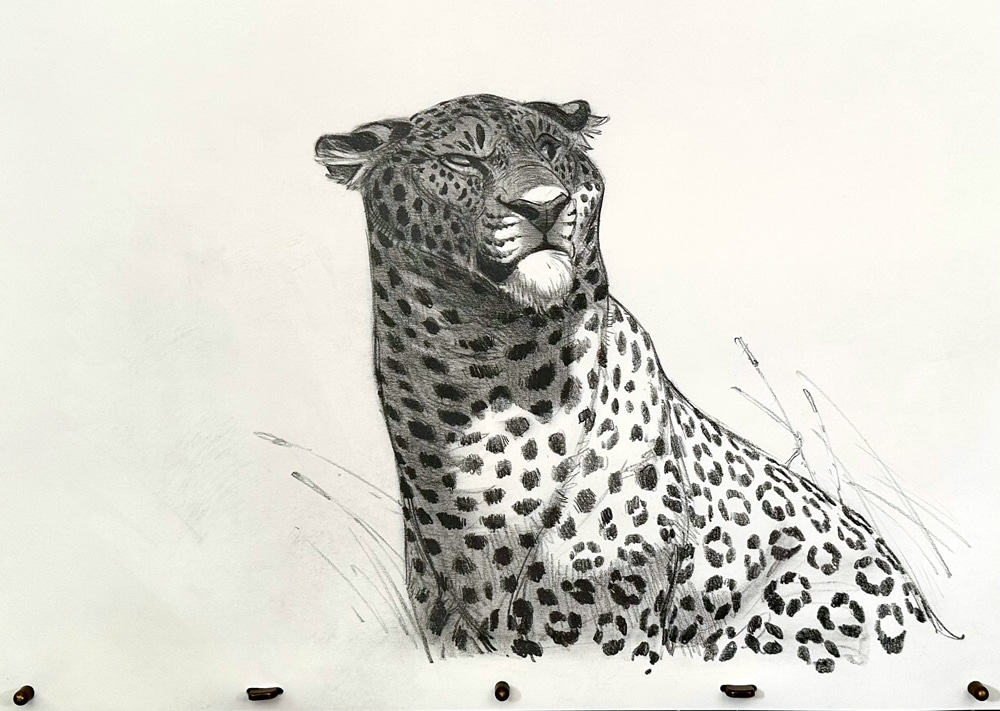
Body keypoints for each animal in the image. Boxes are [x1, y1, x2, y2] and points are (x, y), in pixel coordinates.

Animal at [314, 94, 957, 672]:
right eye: (461, 160)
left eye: (551, 151)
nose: (544, 206)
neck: (491, 373)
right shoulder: (450, 624)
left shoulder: (609, 621)